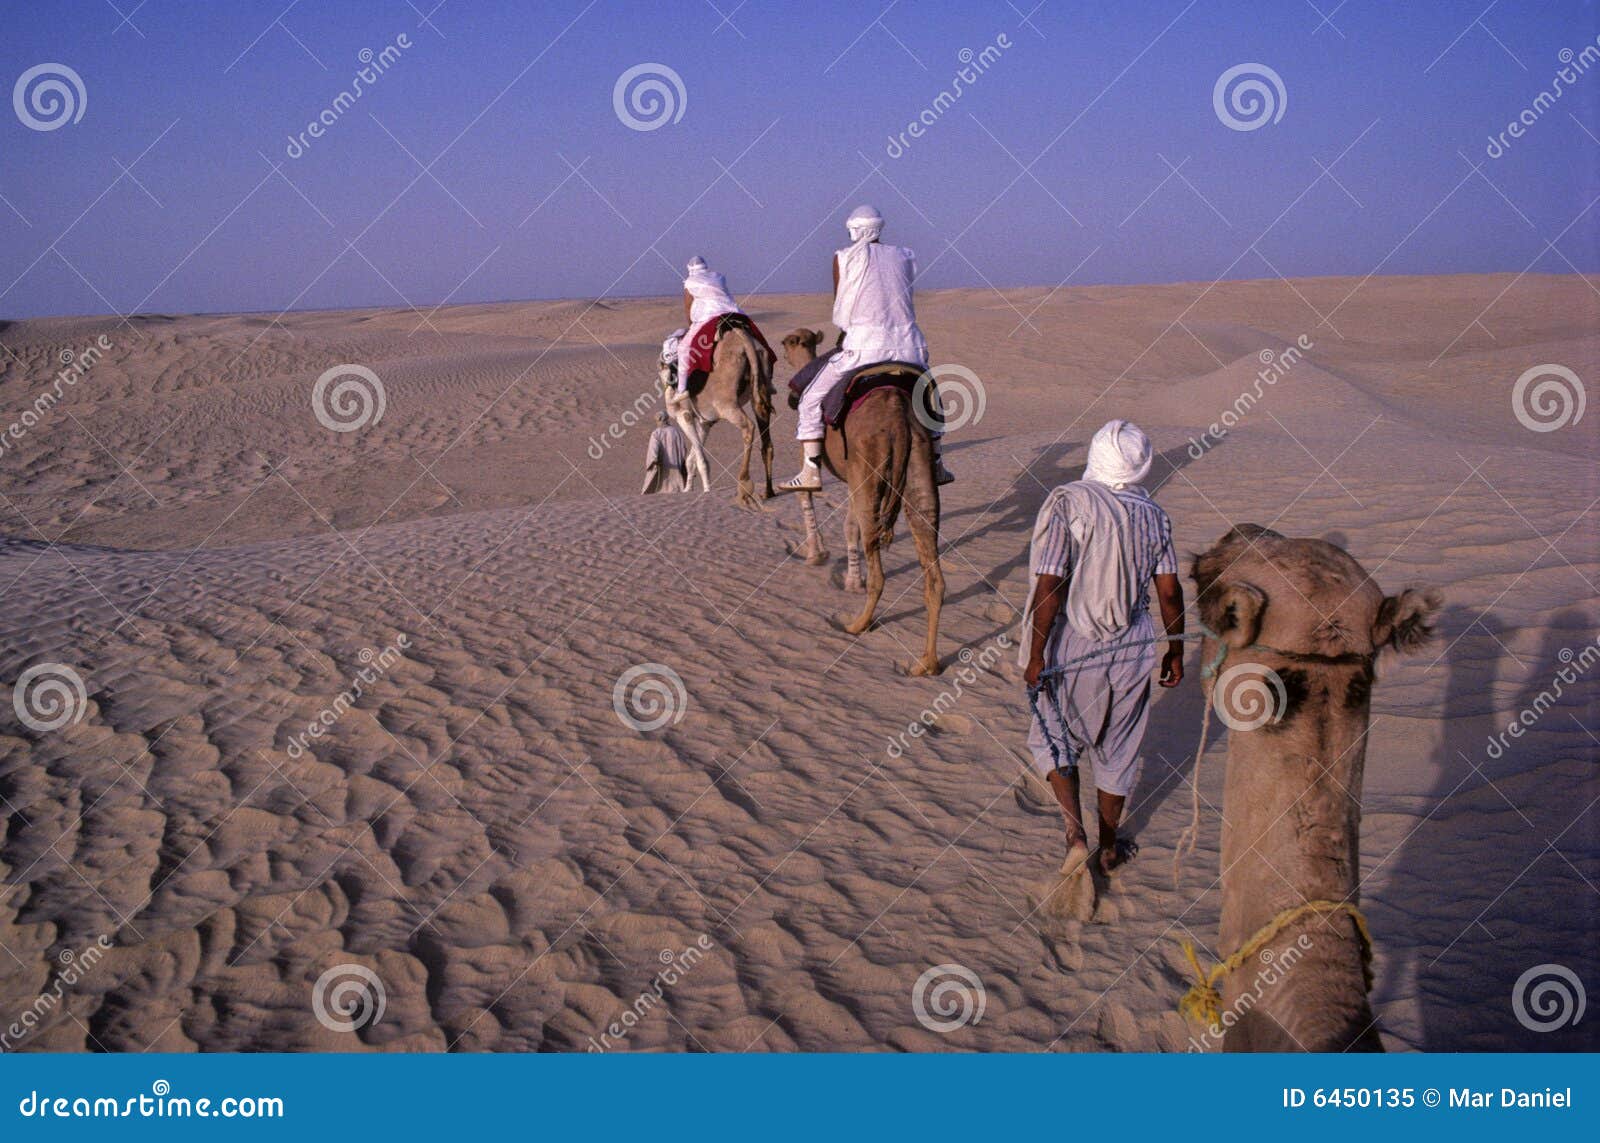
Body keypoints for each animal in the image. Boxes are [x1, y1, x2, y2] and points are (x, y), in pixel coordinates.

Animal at [660, 325, 775, 508]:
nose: (671, 379)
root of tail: (745, 341)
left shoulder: (684, 415)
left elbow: (698, 457)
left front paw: (706, 490)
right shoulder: (705, 421)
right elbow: (692, 457)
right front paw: (688, 489)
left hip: (725, 404)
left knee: (748, 426)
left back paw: (744, 485)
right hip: (760, 387)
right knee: (765, 433)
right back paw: (769, 491)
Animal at [779, 327, 944, 676]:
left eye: (787, 342)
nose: (779, 352)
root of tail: (897, 416)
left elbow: (806, 491)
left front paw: (815, 555)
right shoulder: (852, 478)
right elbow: (849, 525)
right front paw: (849, 577)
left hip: (869, 464)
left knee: (878, 567)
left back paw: (857, 624)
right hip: (917, 467)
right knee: (933, 571)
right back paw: (927, 663)